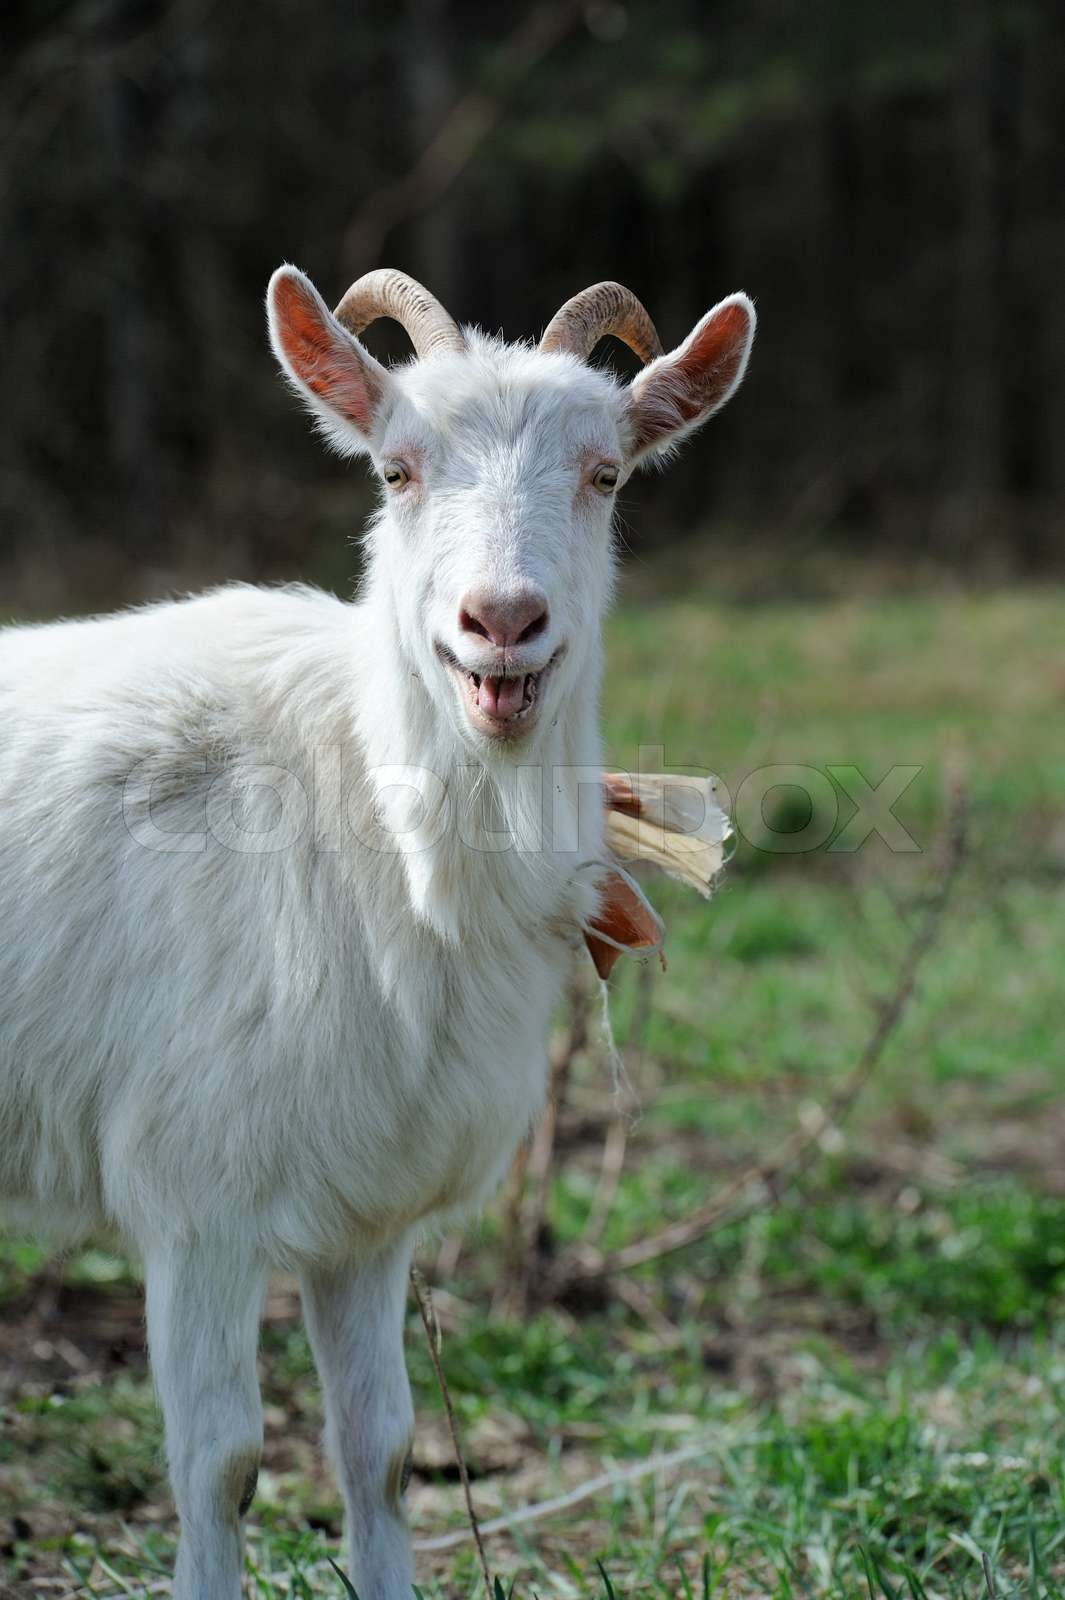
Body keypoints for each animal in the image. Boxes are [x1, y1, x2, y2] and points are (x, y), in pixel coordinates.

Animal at [0, 266, 755, 1598]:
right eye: (396, 469)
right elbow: (221, 1464)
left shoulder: (366, 1210)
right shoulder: (194, 1195)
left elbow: (384, 1449)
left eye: (606, 473)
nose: (501, 621)